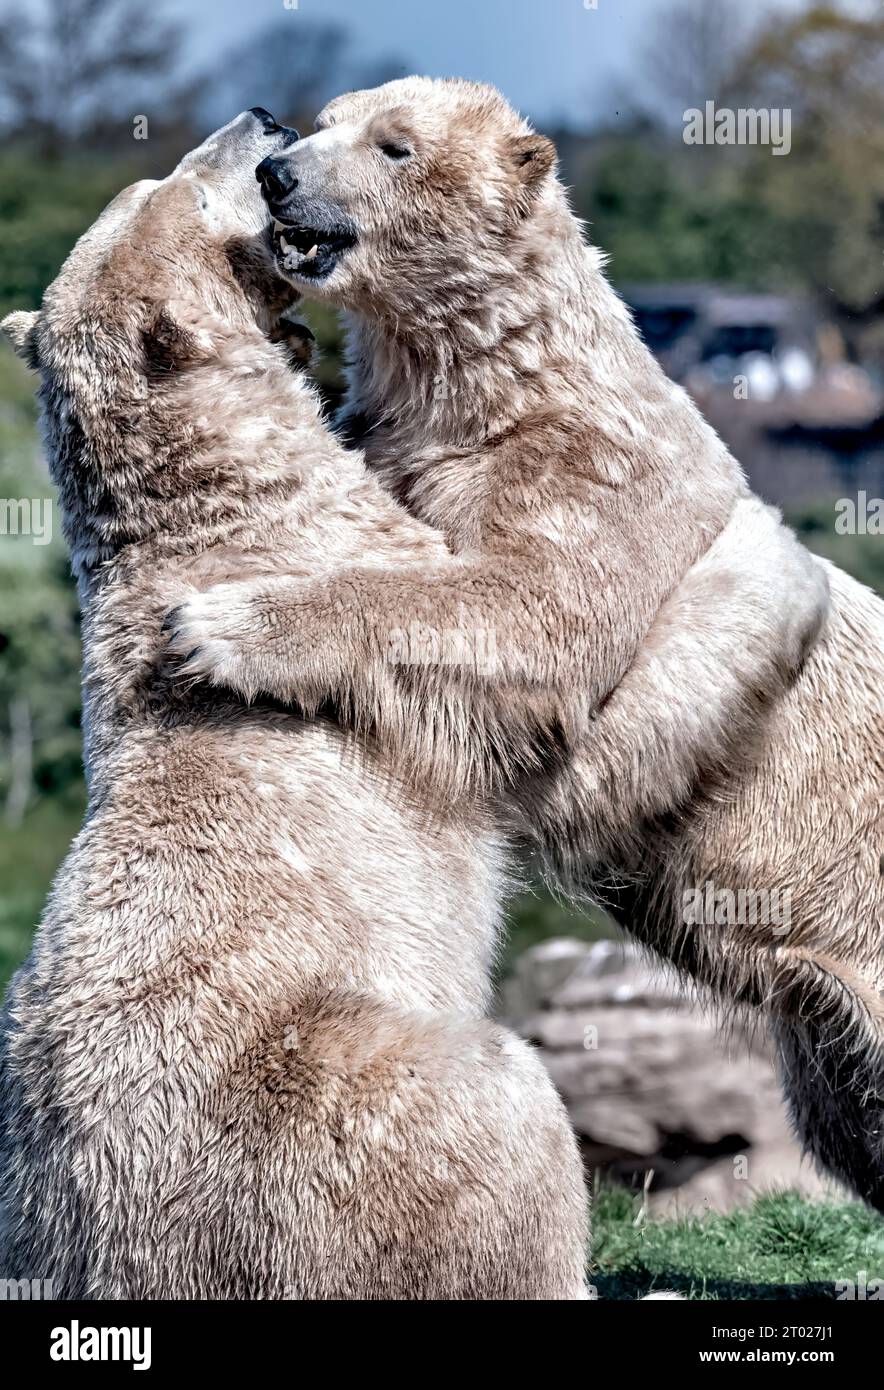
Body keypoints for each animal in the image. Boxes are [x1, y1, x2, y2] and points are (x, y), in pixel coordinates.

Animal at [0, 110, 590, 1299]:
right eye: (183, 183)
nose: (263, 123)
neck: (216, 510)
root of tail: (129, 1258)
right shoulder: (360, 562)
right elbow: (476, 644)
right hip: (327, 1128)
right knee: (495, 1098)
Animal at [165, 79, 883, 1209]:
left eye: (393, 145)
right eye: (328, 119)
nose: (280, 173)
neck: (504, 384)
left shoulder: (593, 481)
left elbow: (525, 618)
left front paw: (222, 623)